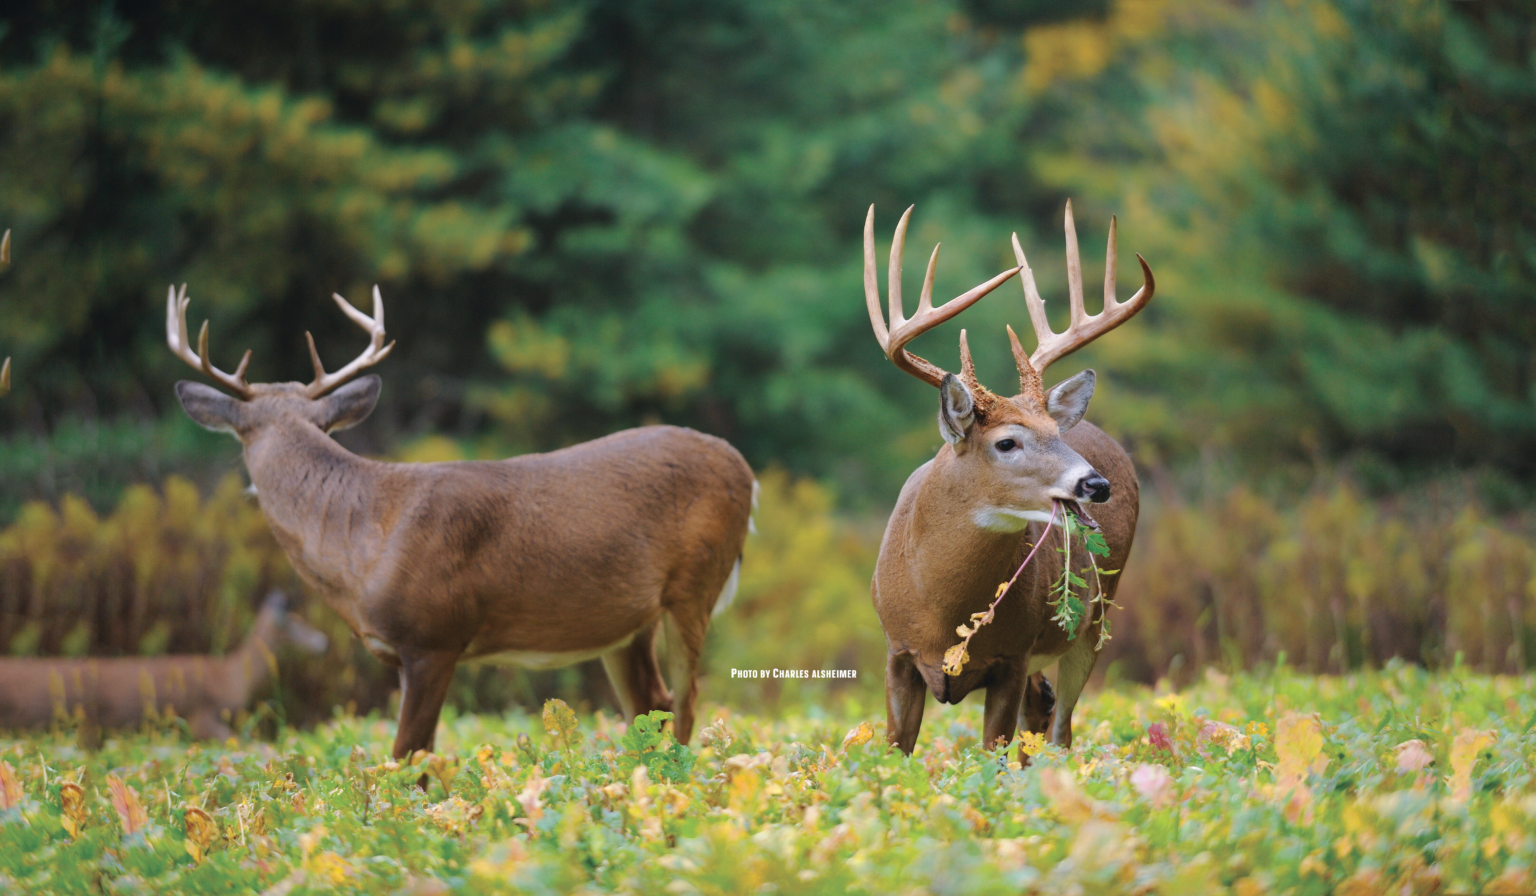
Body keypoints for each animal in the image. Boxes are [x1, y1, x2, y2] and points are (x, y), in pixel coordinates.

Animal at [164, 283, 755, 759]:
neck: (363, 540)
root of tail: (746, 471)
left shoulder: (434, 635)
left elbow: (409, 755)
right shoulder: (404, 654)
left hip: (695, 585)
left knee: (687, 698)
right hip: (625, 622)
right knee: (651, 704)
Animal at [864, 201, 1154, 764]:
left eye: (1053, 433)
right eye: (1006, 443)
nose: (1095, 484)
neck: (942, 612)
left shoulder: (1013, 657)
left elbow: (993, 757)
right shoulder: (897, 652)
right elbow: (895, 753)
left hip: (1093, 621)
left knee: (1060, 728)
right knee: (1043, 712)